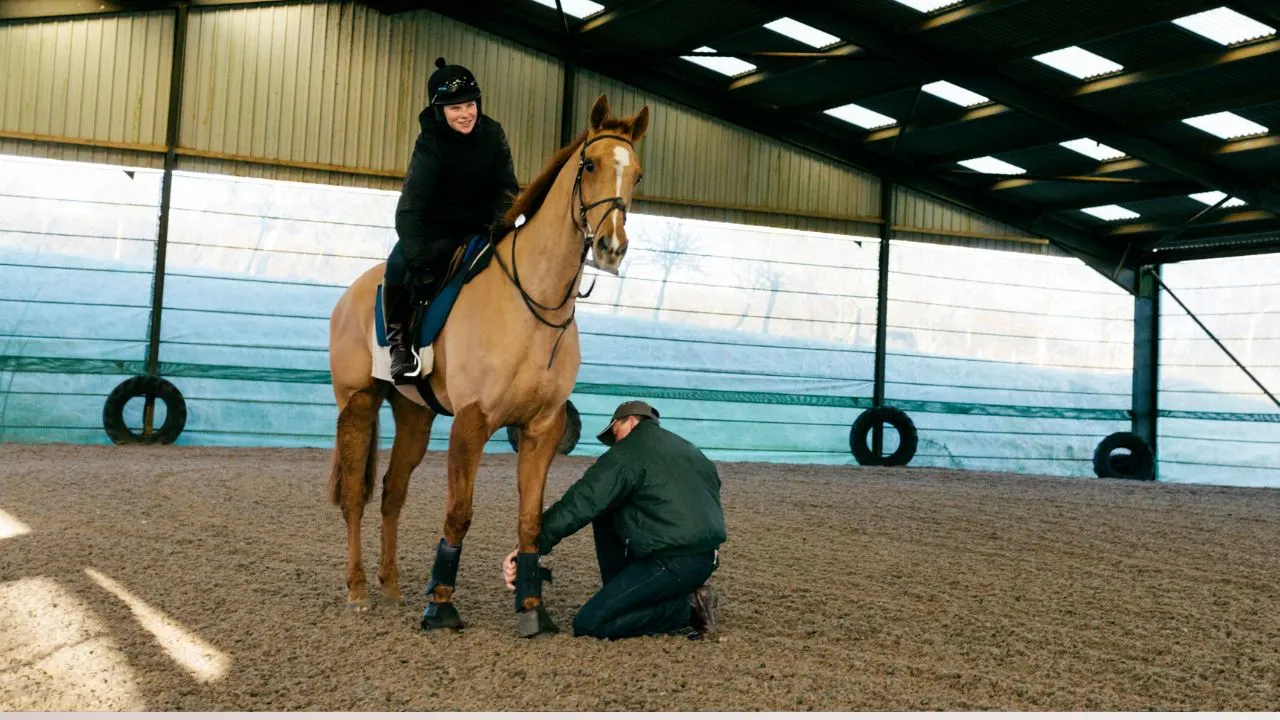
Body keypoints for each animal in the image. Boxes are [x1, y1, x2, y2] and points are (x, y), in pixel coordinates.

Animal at [325, 94, 649, 637]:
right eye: (589, 165)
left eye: (638, 175)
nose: (612, 247)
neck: (533, 302)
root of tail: (351, 295)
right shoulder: (472, 424)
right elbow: (459, 513)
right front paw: (440, 606)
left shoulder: (541, 428)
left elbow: (531, 521)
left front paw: (532, 608)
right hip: (359, 403)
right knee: (355, 495)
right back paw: (358, 591)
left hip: (414, 414)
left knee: (393, 493)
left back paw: (391, 587)